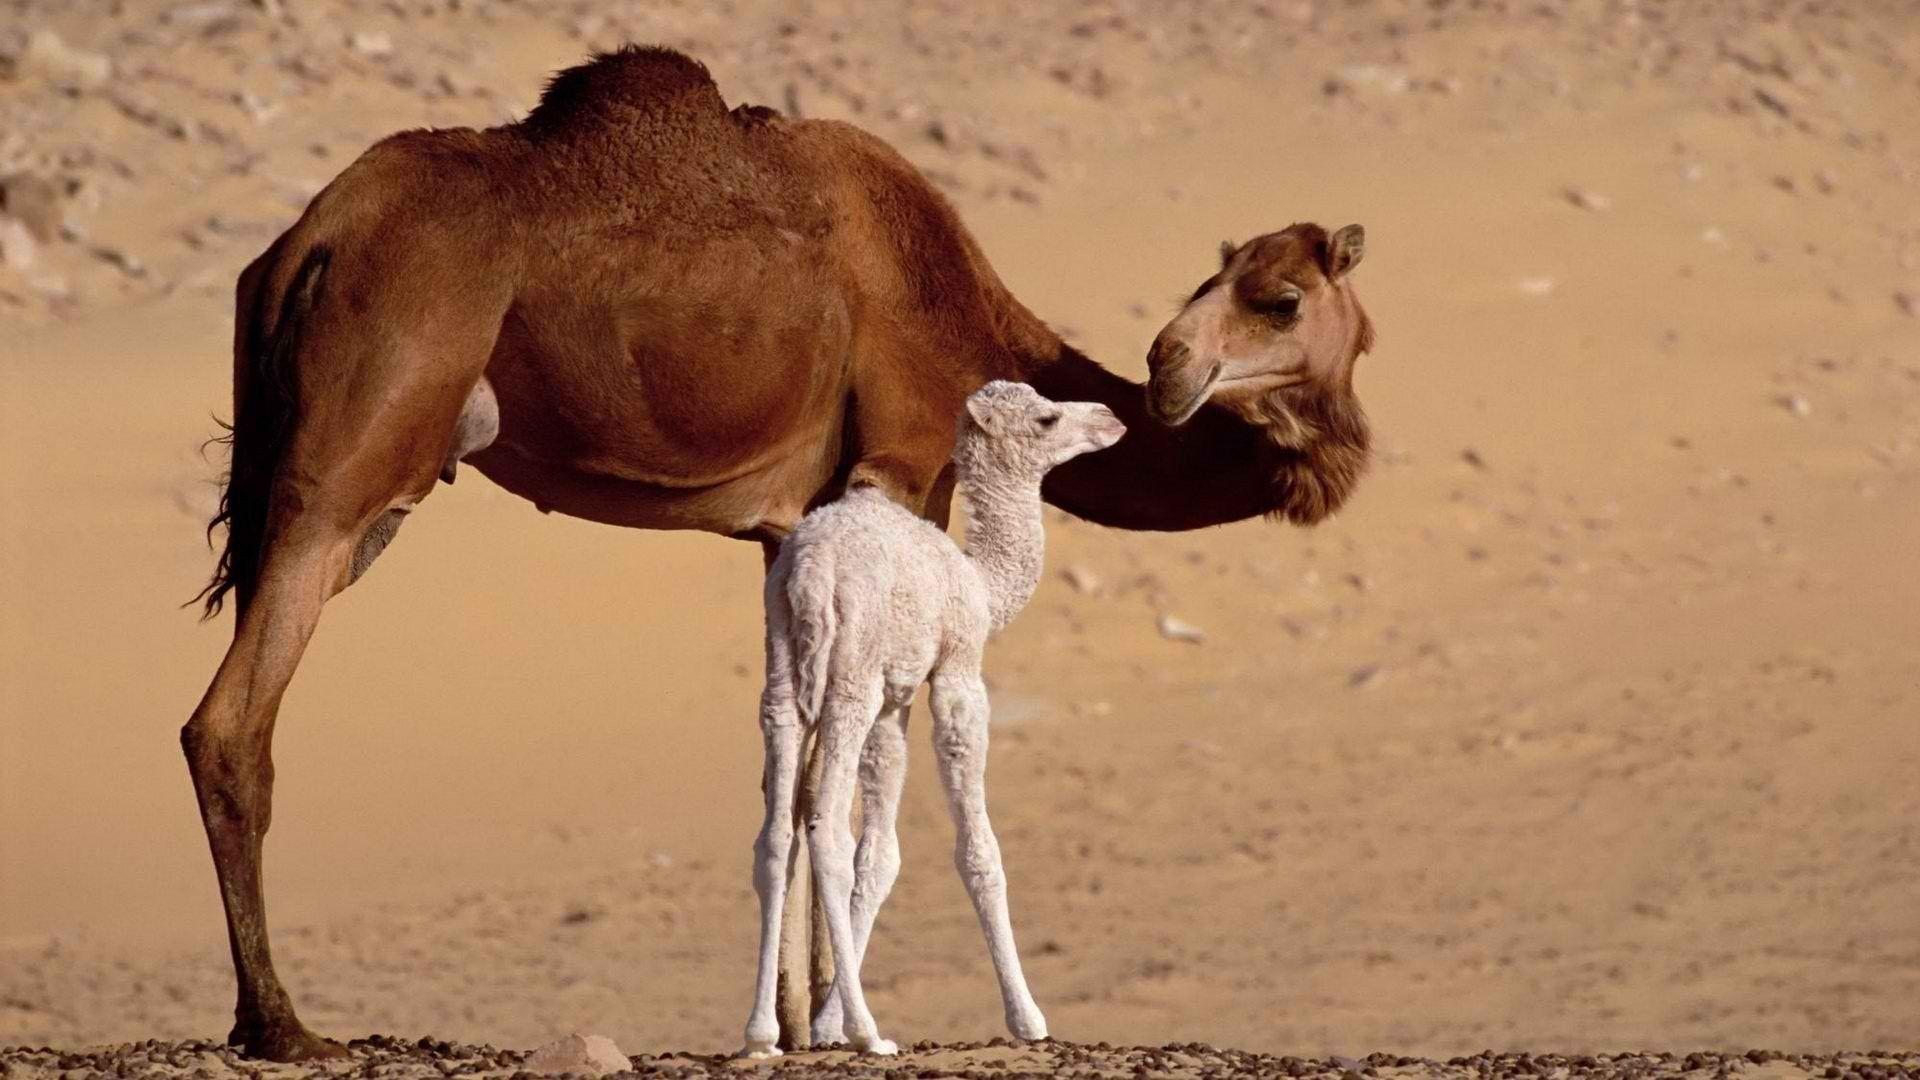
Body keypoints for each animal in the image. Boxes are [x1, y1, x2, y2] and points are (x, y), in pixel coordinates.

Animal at [743, 382, 1125, 1058]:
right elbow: (978, 849)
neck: (980, 581)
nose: (1110, 417)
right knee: (826, 831)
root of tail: (811, 571)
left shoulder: (894, 701)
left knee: (775, 837)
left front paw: (825, 1025)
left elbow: (881, 858)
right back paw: (871, 1034)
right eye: (1046, 417)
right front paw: (1027, 1017)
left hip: (785, 673)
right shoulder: (956, 673)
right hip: (850, 678)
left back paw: (762, 1033)